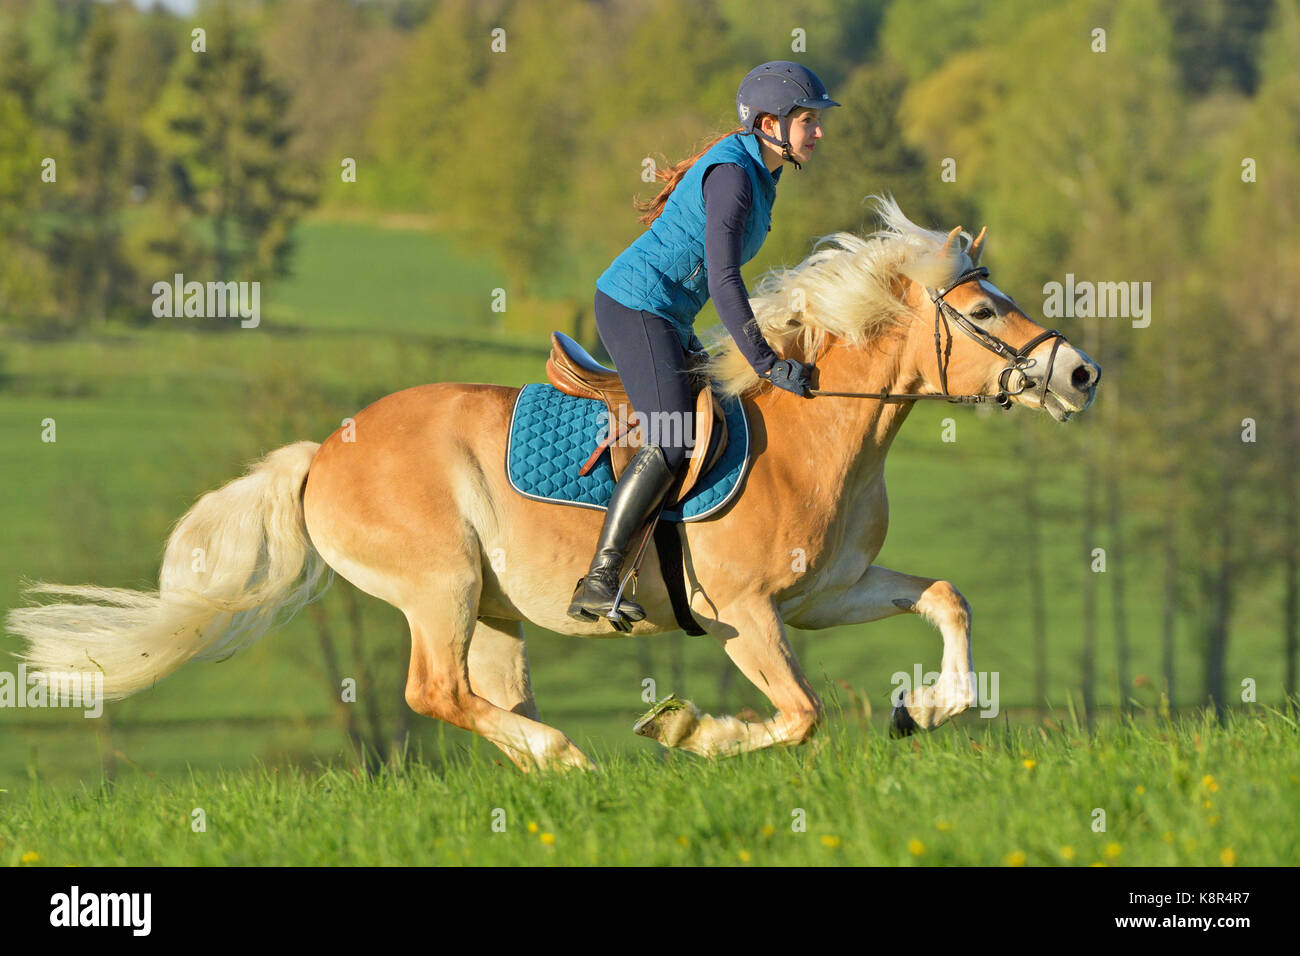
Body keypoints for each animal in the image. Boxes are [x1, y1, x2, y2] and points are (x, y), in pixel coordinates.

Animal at [8, 198, 1100, 772]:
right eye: (984, 310)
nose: (1080, 374)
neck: (818, 424)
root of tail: (323, 451)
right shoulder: (748, 615)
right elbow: (797, 714)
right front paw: (691, 729)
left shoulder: (825, 594)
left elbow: (947, 598)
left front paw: (926, 708)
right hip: (440, 584)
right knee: (432, 687)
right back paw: (564, 755)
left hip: (492, 608)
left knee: (474, 692)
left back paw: (546, 761)